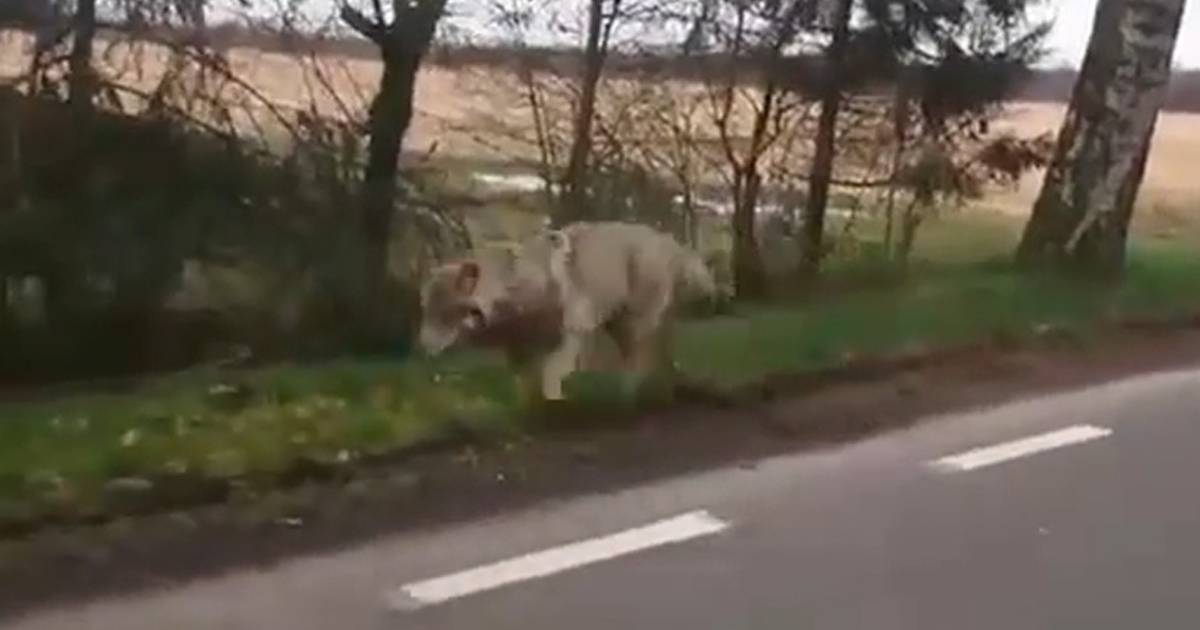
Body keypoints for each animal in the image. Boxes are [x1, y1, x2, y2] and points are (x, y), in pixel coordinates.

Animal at [417, 221, 717, 401]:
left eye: (444, 312)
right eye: (425, 310)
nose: (422, 345)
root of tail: (671, 241)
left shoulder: (573, 334)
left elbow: (551, 375)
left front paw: (556, 402)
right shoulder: (518, 349)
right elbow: (526, 386)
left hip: (635, 324)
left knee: (638, 362)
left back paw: (630, 397)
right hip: (623, 325)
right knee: (658, 359)